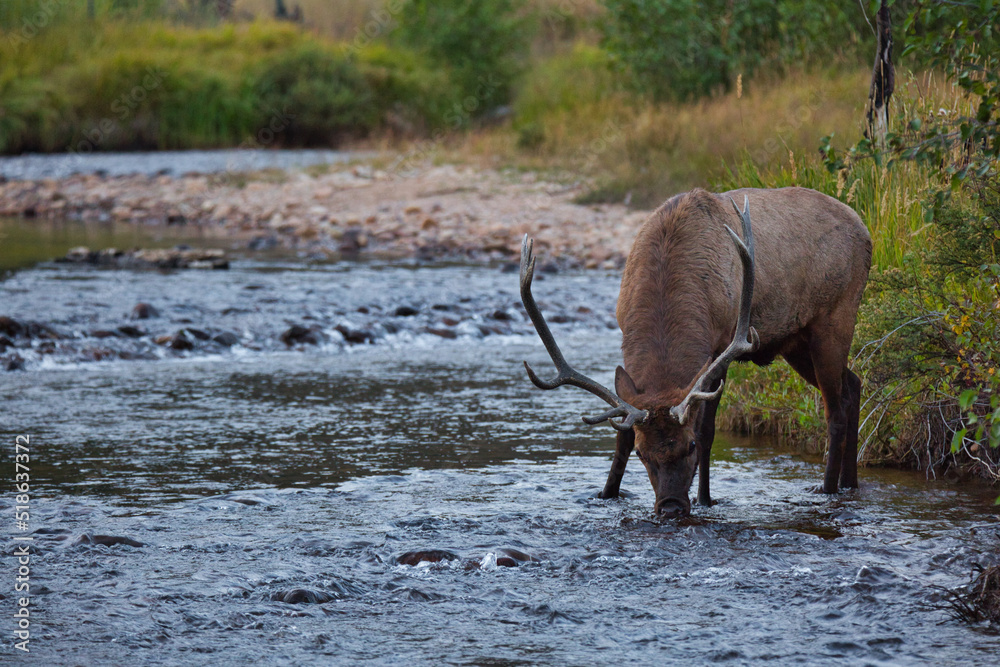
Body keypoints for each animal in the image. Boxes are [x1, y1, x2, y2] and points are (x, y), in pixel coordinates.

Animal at [519, 187, 872, 518]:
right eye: (643, 454)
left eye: (688, 447)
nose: (671, 507)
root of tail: (865, 228)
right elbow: (622, 434)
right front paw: (606, 494)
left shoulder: (723, 344)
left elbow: (707, 429)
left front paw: (705, 500)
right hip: (795, 342)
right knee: (853, 384)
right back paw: (850, 483)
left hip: (834, 319)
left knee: (834, 412)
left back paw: (828, 490)